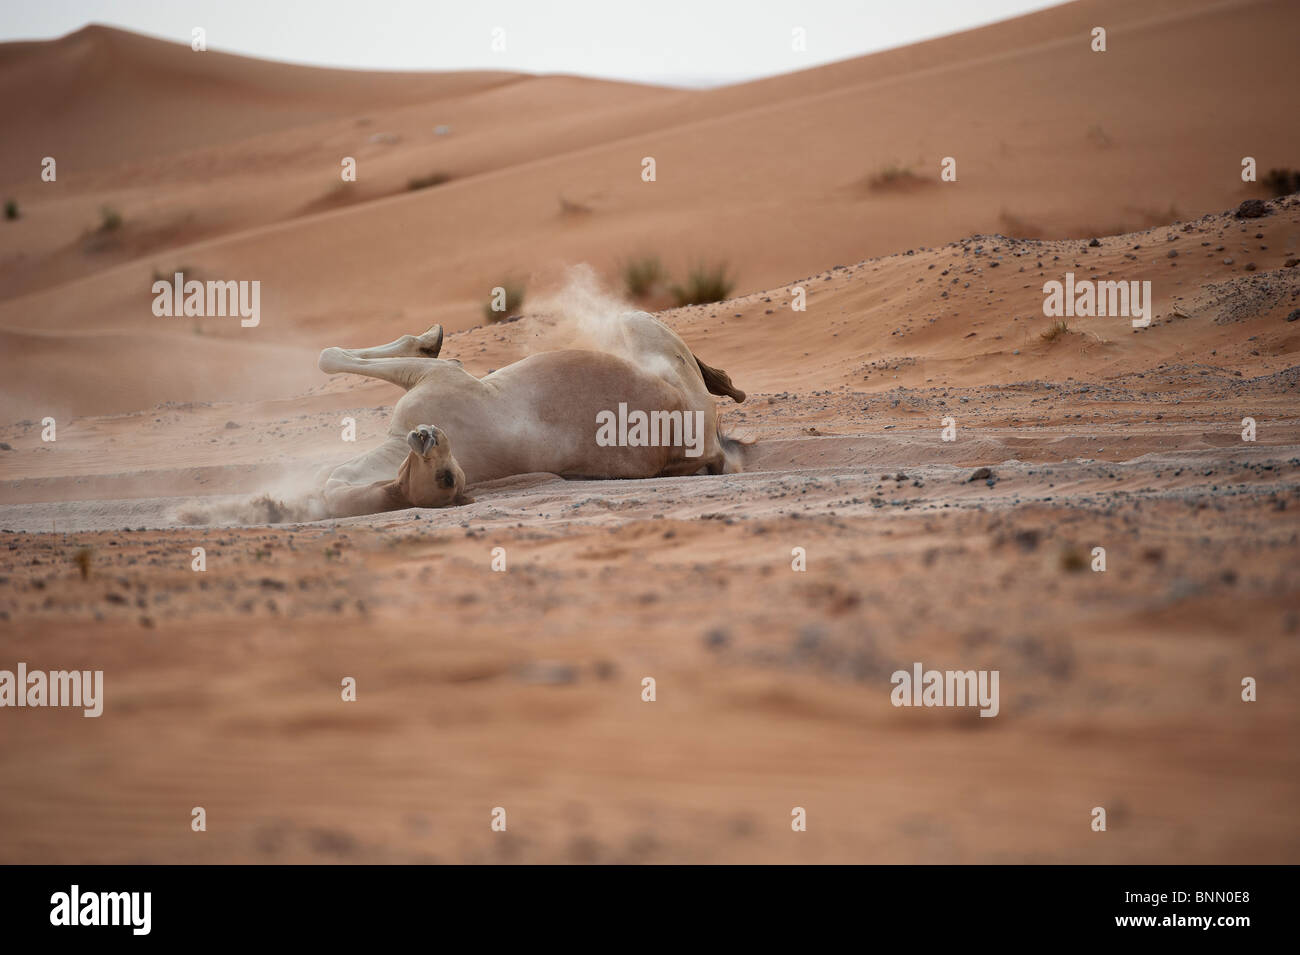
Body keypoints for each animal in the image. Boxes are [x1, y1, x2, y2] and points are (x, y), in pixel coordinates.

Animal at [316, 311, 747, 517]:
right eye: (446, 478)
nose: (428, 437)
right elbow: (331, 358)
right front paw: (430, 341)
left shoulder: (434, 377)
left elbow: (330, 357)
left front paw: (430, 342)